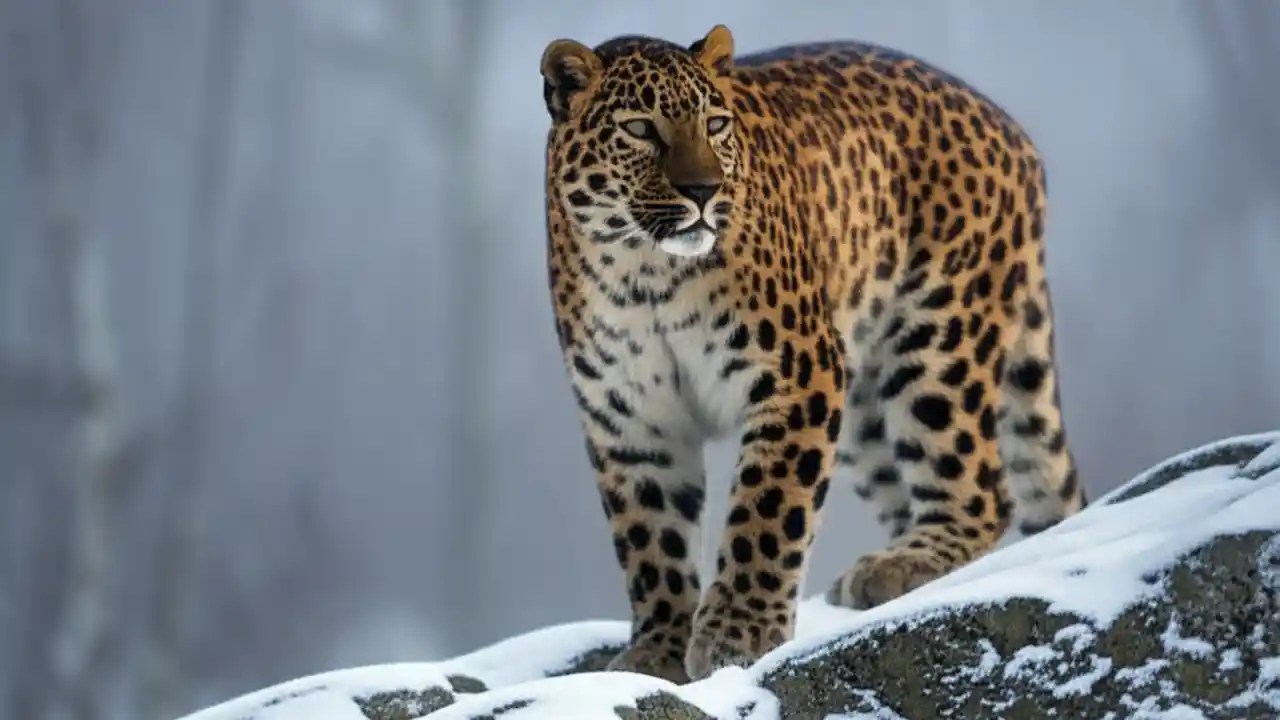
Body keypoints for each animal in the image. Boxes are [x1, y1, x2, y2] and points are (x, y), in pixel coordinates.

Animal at [538, 24, 1086, 684]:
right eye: (641, 129)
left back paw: (897, 566)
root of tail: (1013, 132)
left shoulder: (796, 373)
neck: (646, 274)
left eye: (715, 125)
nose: (703, 191)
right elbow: (651, 540)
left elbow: (767, 510)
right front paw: (659, 649)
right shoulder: (630, 418)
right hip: (865, 404)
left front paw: (737, 637)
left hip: (937, 342)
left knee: (981, 490)